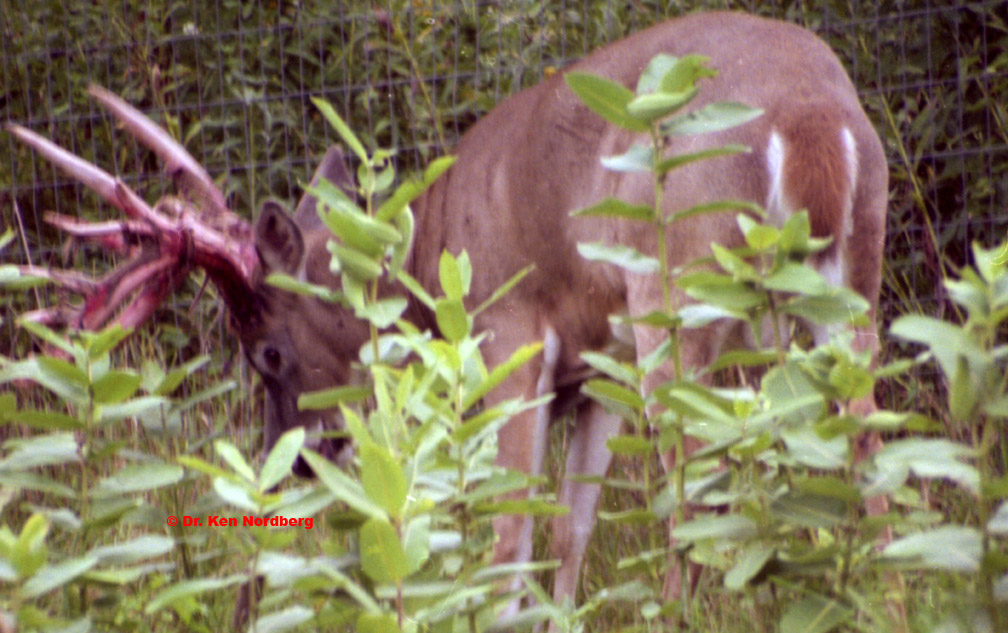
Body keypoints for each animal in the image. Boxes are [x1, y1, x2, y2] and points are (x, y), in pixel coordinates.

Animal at [7, 10, 887, 626]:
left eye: (266, 353)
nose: (291, 460)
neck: (428, 260)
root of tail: (813, 118)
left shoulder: (509, 332)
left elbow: (507, 530)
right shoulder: (594, 366)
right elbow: (569, 532)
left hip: (677, 292)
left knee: (696, 489)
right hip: (851, 287)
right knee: (869, 451)